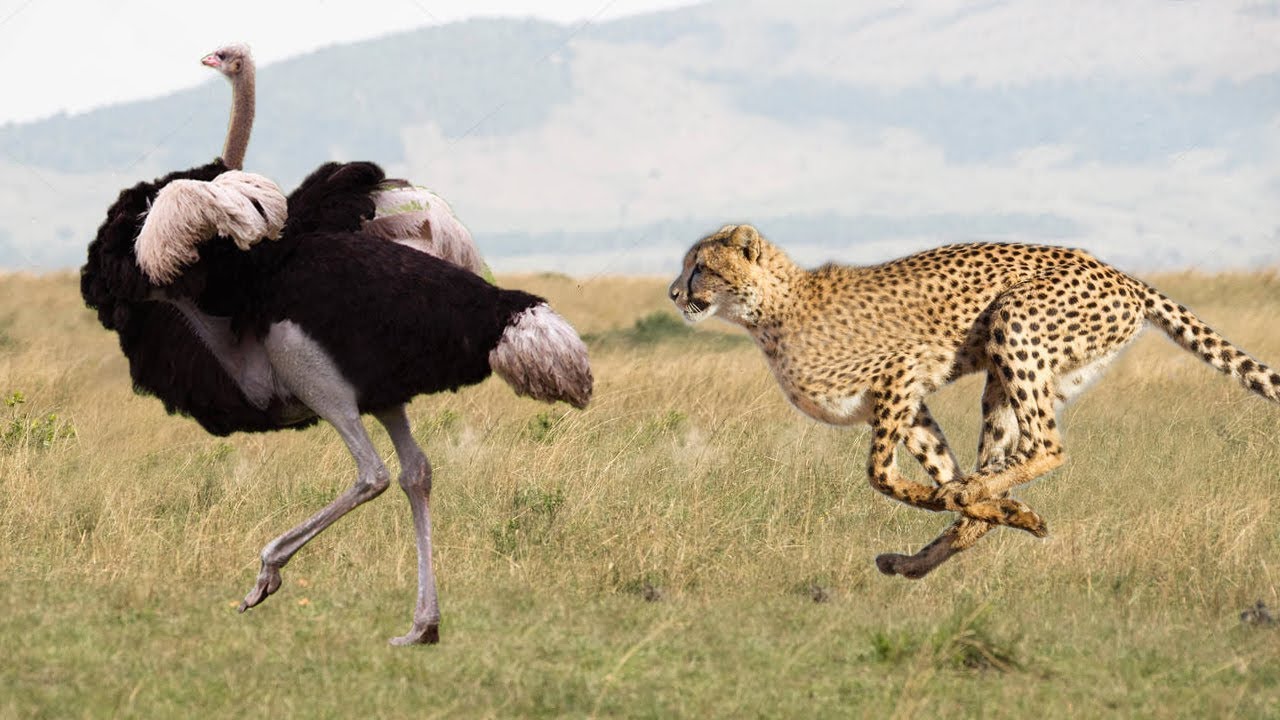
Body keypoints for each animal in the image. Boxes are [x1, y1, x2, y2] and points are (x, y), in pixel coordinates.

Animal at [669, 224, 1280, 579]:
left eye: (701, 266)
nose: (673, 293)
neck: (767, 310)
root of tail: (1118, 273)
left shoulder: (903, 369)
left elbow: (881, 474)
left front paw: (953, 496)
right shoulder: (904, 400)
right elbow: (937, 469)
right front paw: (988, 508)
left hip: (1014, 322)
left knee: (1047, 445)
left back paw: (975, 500)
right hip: (1011, 379)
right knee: (1004, 464)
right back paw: (932, 549)